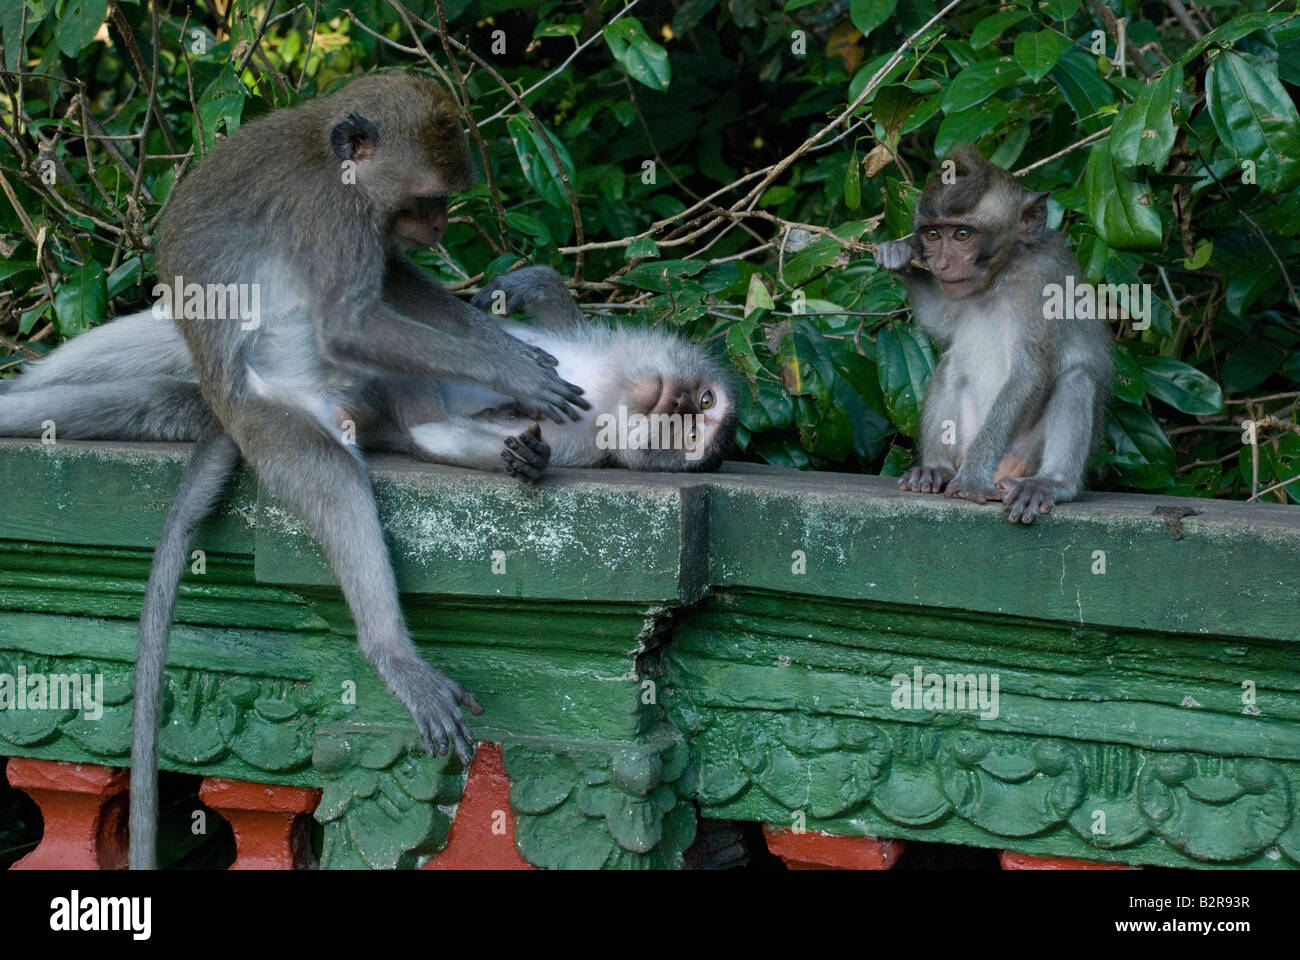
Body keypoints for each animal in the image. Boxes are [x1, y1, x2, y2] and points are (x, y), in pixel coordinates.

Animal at [875, 144, 1112, 524]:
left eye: (962, 234)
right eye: (932, 234)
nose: (941, 264)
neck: (1003, 274)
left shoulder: (1040, 282)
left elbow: (1030, 373)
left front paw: (972, 479)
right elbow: (942, 323)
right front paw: (899, 255)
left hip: (1024, 453)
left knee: (1077, 379)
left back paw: (1050, 482)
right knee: (952, 366)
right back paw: (938, 469)